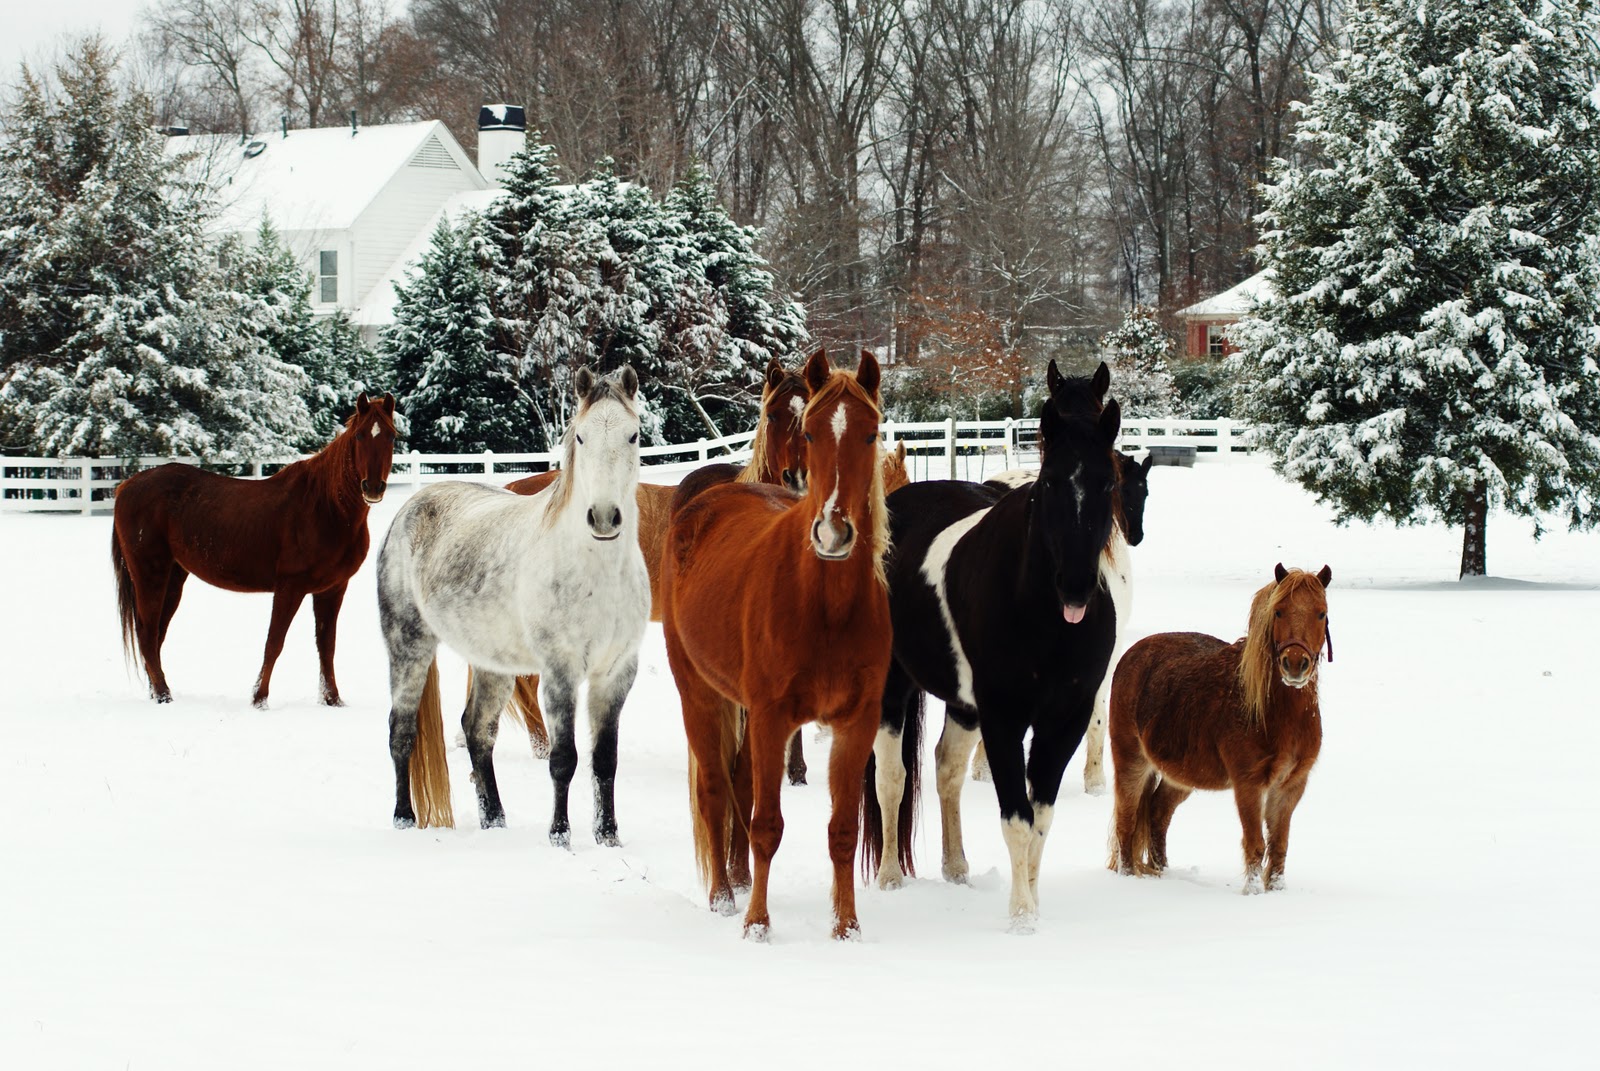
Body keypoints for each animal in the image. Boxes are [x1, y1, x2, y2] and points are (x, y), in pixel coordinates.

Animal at [112, 393, 397, 706]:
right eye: (359, 435)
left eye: (391, 436)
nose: (373, 487)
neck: (325, 507)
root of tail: (125, 487)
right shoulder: (290, 587)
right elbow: (274, 642)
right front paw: (260, 698)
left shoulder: (332, 588)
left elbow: (327, 645)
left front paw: (332, 700)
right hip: (150, 574)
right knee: (147, 632)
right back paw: (164, 694)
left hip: (174, 576)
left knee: (156, 635)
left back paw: (158, 692)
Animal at [378, 367, 649, 841]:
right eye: (580, 437)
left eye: (632, 435)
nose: (603, 517)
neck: (597, 572)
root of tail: (408, 509)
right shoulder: (560, 672)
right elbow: (564, 760)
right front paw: (560, 836)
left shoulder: (615, 674)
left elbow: (604, 761)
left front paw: (608, 836)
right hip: (408, 647)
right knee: (402, 731)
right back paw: (404, 817)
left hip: (492, 664)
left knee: (477, 731)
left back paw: (494, 820)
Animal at [661, 348, 892, 940]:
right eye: (809, 431)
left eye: (871, 433)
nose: (833, 533)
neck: (825, 605)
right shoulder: (769, 718)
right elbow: (766, 823)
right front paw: (757, 926)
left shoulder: (856, 723)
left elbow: (842, 829)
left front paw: (847, 927)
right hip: (699, 694)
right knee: (715, 788)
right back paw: (724, 895)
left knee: (739, 784)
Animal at [862, 367, 1122, 929]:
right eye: (1049, 481)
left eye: (1109, 481)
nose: (1076, 588)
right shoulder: (1005, 719)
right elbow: (1017, 818)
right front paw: (1021, 916)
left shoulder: (1064, 719)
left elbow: (1041, 816)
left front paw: (1033, 902)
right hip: (892, 690)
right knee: (893, 778)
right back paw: (890, 876)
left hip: (964, 706)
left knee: (946, 770)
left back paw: (956, 867)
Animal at [1109, 564, 1331, 893]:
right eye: (1278, 612)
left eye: (1321, 613)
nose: (1295, 664)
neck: (1276, 715)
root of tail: (1132, 654)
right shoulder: (1248, 784)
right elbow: (1255, 845)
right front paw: (1253, 893)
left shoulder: (1291, 786)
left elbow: (1279, 846)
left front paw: (1276, 892)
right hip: (1131, 761)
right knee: (1127, 821)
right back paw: (1128, 878)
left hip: (1181, 776)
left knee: (1158, 813)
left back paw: (1163, 872)